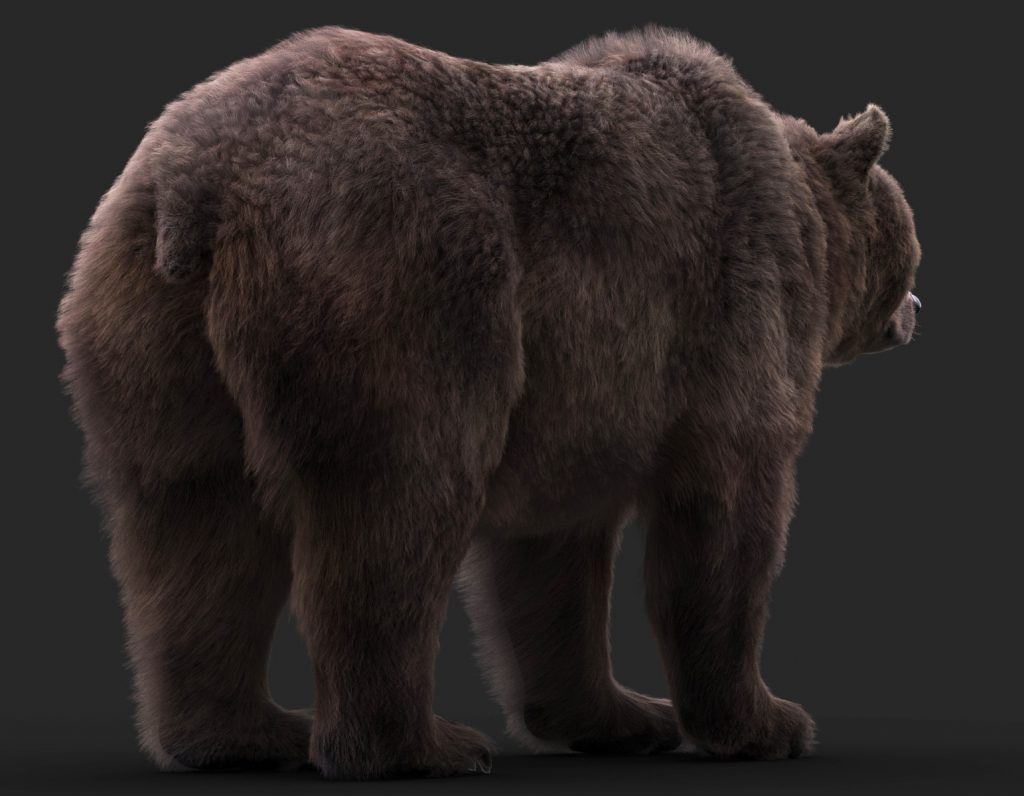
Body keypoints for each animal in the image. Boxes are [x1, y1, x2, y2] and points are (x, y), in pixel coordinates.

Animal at [56, 24, 922, 780]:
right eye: (911, 243)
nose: (917, 309)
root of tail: (204, 186)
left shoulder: (582, 389)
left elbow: (551, 557)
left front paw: (623, 714)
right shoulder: (733, 307)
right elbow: (726, 510)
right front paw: (767, 722)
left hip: (147, 334)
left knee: (195, 532)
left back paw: (246, 733)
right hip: (405, 281)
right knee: (398, 505)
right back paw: (418, 746)